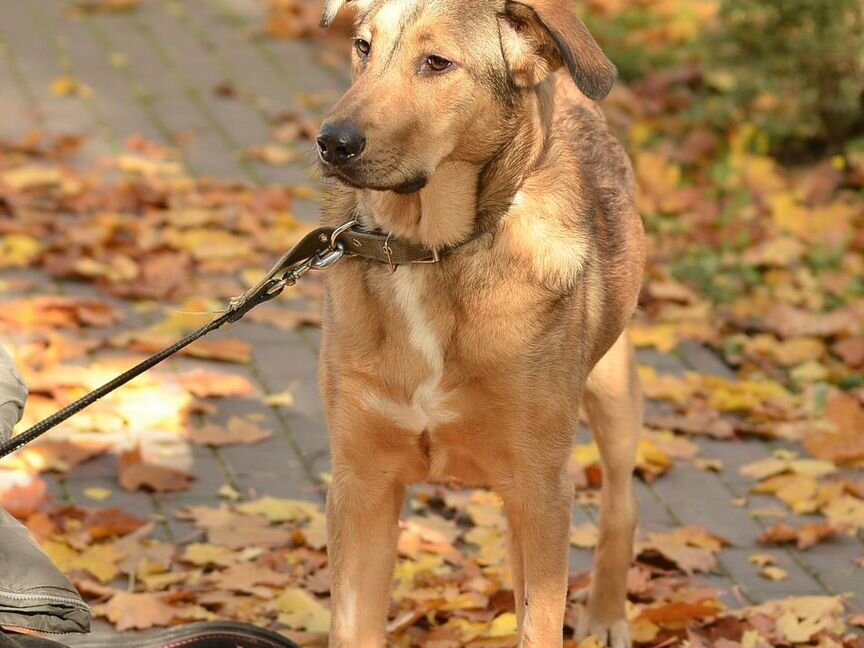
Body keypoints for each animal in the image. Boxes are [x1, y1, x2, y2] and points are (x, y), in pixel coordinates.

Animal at [314, 2, 644, 644]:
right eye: (363, 46)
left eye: (437, 63)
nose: (331, 142)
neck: (428, 251)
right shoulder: (362, 486)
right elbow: (352, 625)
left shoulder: (541, 491)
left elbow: (540, 625)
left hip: (613, 392)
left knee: (621, 503)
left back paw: (607, 613)